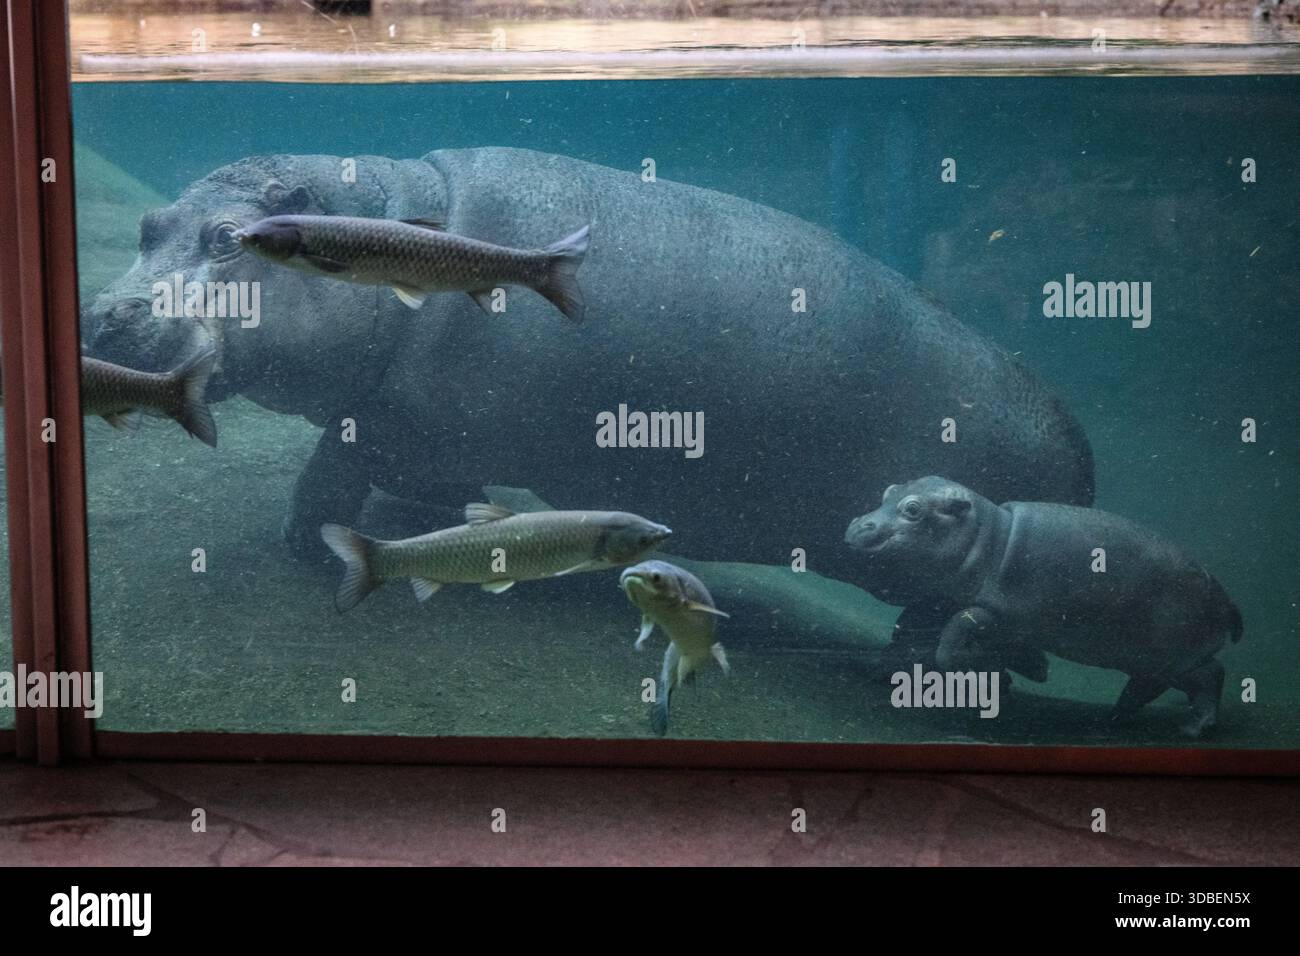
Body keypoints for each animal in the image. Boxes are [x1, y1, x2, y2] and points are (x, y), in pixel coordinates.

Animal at [83, 147, 1094, 569]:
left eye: (226, 240)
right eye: (148, 223)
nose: (104, 314)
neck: (387, 219)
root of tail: (1085, 461)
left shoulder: (402, 422)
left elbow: (331, 472)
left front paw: (305, 545)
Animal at [844, 477, 1243, 735]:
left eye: (913, 509)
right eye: (888, 491)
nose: (858, 525)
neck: (989, 536)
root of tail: (1226, 598)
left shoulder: (992, 612)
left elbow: (952, 637)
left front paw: (998, 672)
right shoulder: (1010, 626)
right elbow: (1006, 646)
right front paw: (1036, 670)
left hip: (1178, 657)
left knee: (1213, 674)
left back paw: (1193, 728)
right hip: (1152, 661)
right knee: (1149, 685)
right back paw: (1116, 717)